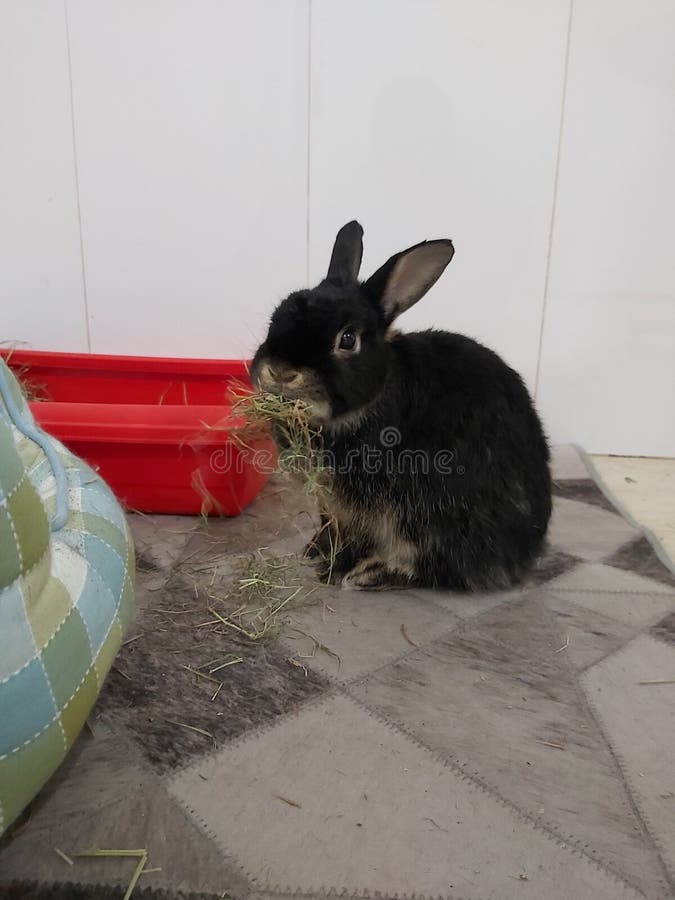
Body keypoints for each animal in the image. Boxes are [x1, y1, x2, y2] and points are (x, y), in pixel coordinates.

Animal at [251, 221, 552, 591]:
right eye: (279, 313)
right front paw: (313, 551)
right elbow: (328, 527)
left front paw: (331, 572)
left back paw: (371, 574)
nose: (281, 372)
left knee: (440, 568)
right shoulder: (328, 503)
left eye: (348, 339)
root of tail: (526, 551)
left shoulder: (365, 508)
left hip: (433, 519)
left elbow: (354, 540)